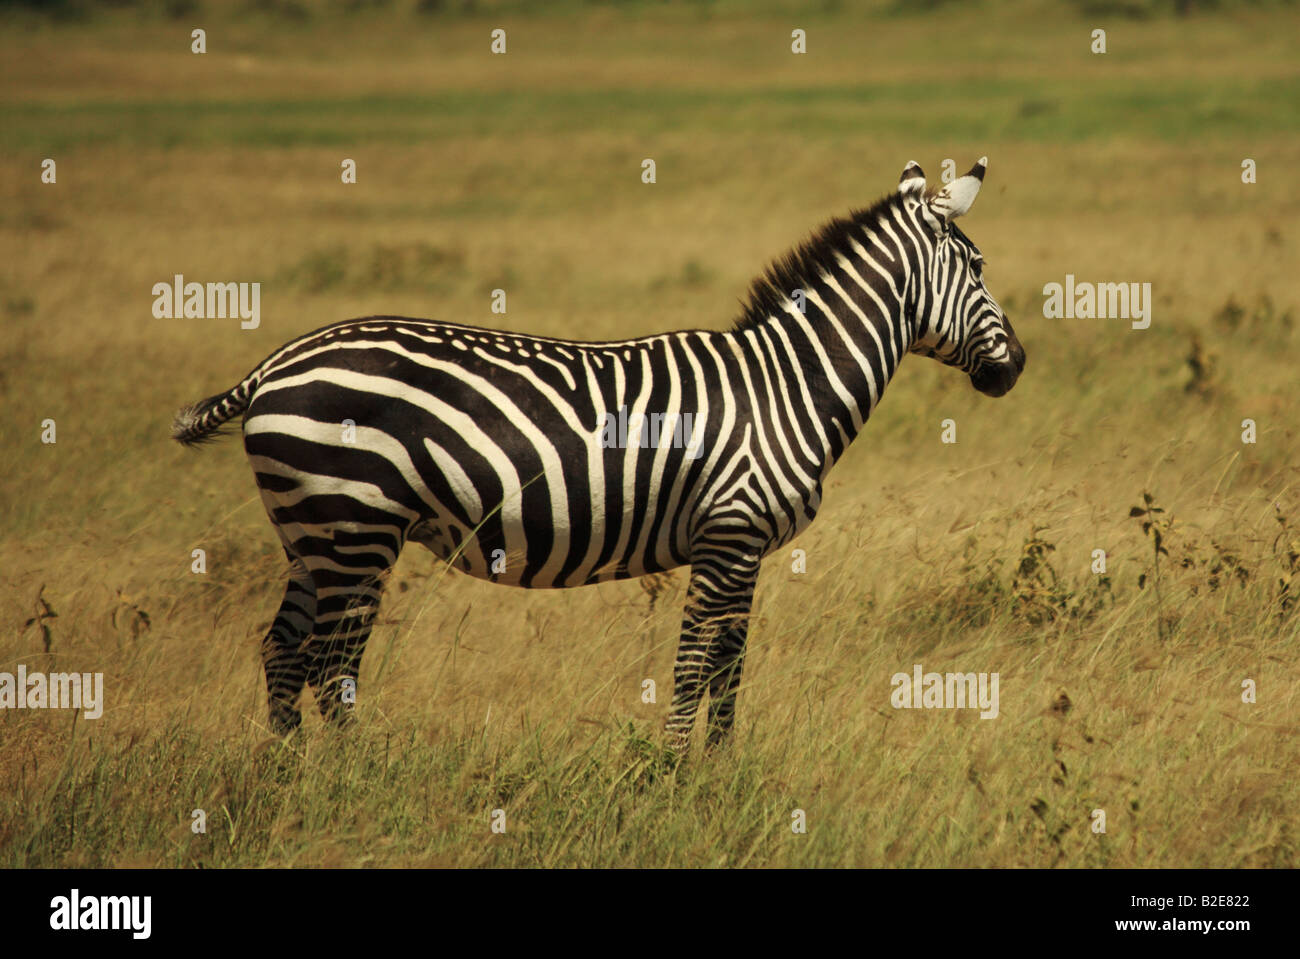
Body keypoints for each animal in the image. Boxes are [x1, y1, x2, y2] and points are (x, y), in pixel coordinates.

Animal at [172, 157, 1024, 752]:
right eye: (980, 266)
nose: (1016, 367)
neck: (789, 382)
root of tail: (271, 367)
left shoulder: (745, 548)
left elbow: (730, 668)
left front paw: (722, 770)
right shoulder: (729, 534)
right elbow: (695, 664)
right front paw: (675, 773)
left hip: (311, 535)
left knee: (284, 654)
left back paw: (293, 777)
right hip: (356, 529)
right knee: (331, 666)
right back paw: (356, 777)